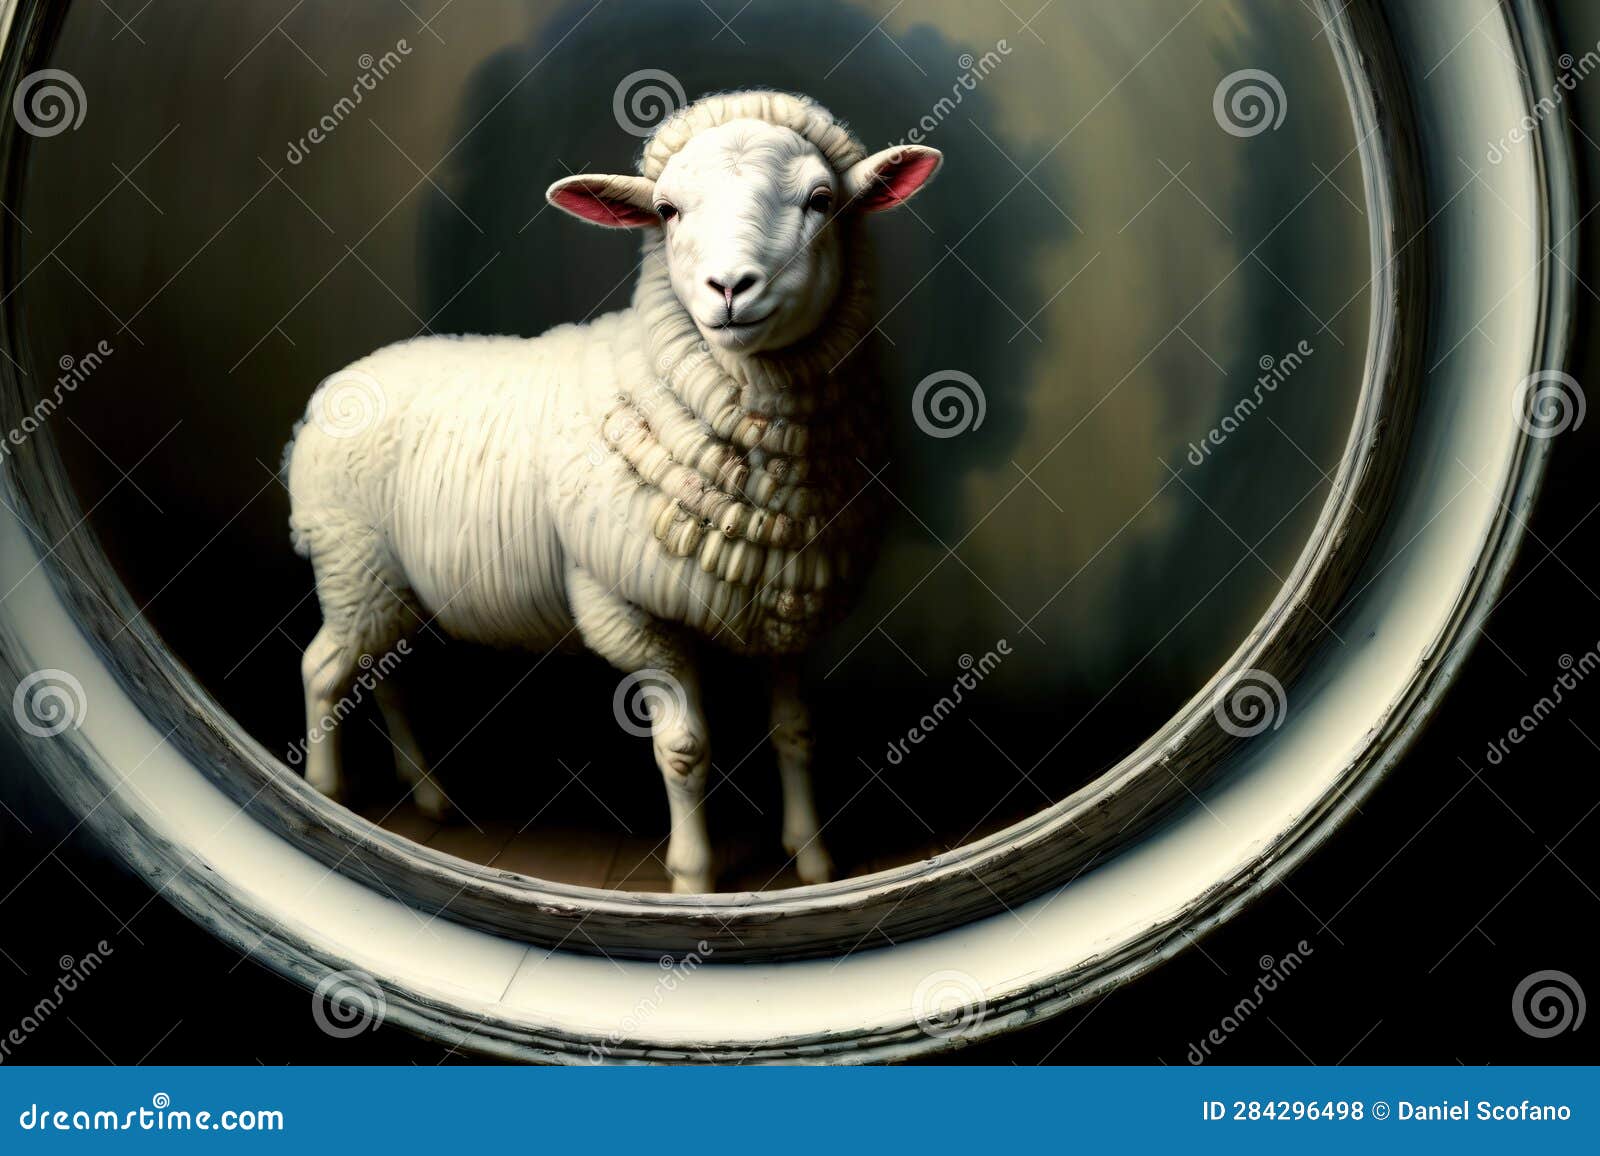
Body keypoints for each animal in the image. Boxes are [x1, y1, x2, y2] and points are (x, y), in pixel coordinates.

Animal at [284, 90, 941, 893]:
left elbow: (796, 732)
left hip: (392, 583)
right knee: (322, 671)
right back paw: (327, 794)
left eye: (822, 200)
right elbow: (686, 750)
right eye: (666, 210)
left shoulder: (785, 608)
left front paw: (813, 862)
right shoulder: (627, 609)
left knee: (383, 679)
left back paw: (429, 795)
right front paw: (694, 879)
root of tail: (341, 382)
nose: (731, 288)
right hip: (350, 560)